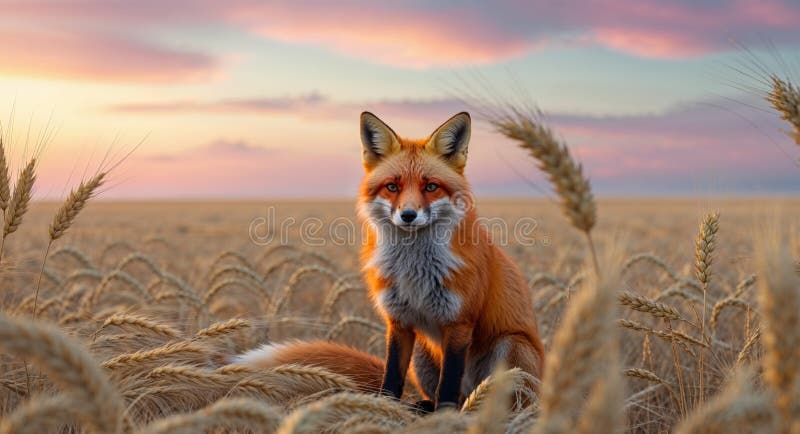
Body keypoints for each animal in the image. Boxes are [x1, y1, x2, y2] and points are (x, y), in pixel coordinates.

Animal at [233, 112, 545, 411]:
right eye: (392, 186)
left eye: (431, 186)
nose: (408, 215)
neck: (415, 270)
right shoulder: (398, 319)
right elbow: (392, 378)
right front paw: (383, 409)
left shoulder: (459, 322)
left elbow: (447, 384)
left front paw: (445, 418)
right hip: (422, 355)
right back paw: (424, 407)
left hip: (511, 347)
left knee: (481, 397)